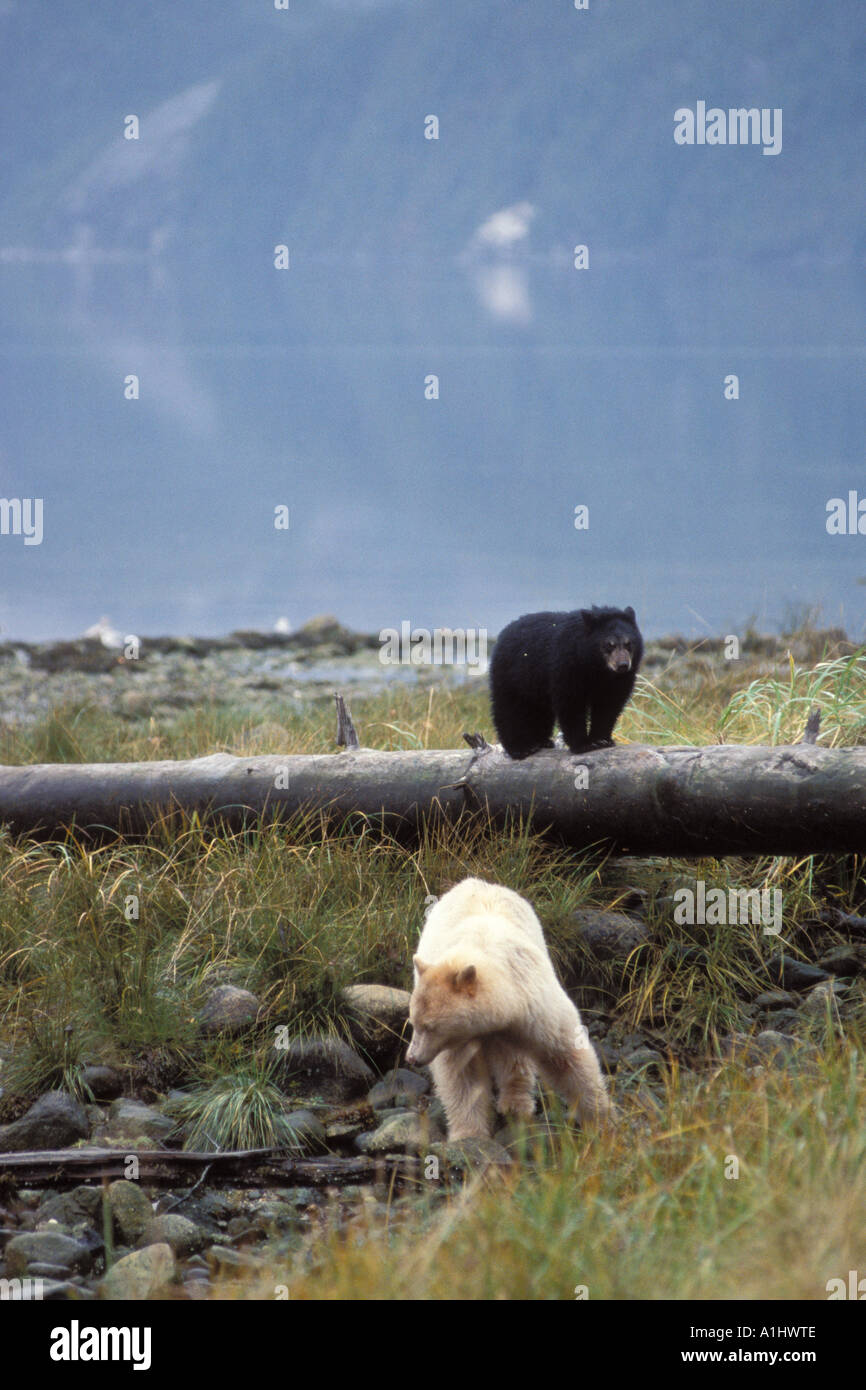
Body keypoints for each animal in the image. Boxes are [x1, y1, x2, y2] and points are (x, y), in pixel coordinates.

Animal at [405, 878, 612, 1140]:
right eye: (413, 1023)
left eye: (429, 1026)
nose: (412, 1058)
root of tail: (478, 881)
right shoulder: (463, 1038)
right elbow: (462, 1077)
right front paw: (468, 1134)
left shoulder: (534, 1003)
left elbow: (565, 1054)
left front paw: (602, 1119)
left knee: (515, 1059)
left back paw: (516, 1102)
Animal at [489, 605, 643, 759]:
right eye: (609, 645)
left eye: (629, 643)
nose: (623, 665)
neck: (596, 667)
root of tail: (504, 633)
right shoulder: (567, 666)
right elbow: (571, 703)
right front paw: (583, 745)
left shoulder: (617, 681)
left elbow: (609, 705)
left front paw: (601, 740)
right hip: (512, 675)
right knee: (508, 709)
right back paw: (521, 748)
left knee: (540, 710)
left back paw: (542, 741)